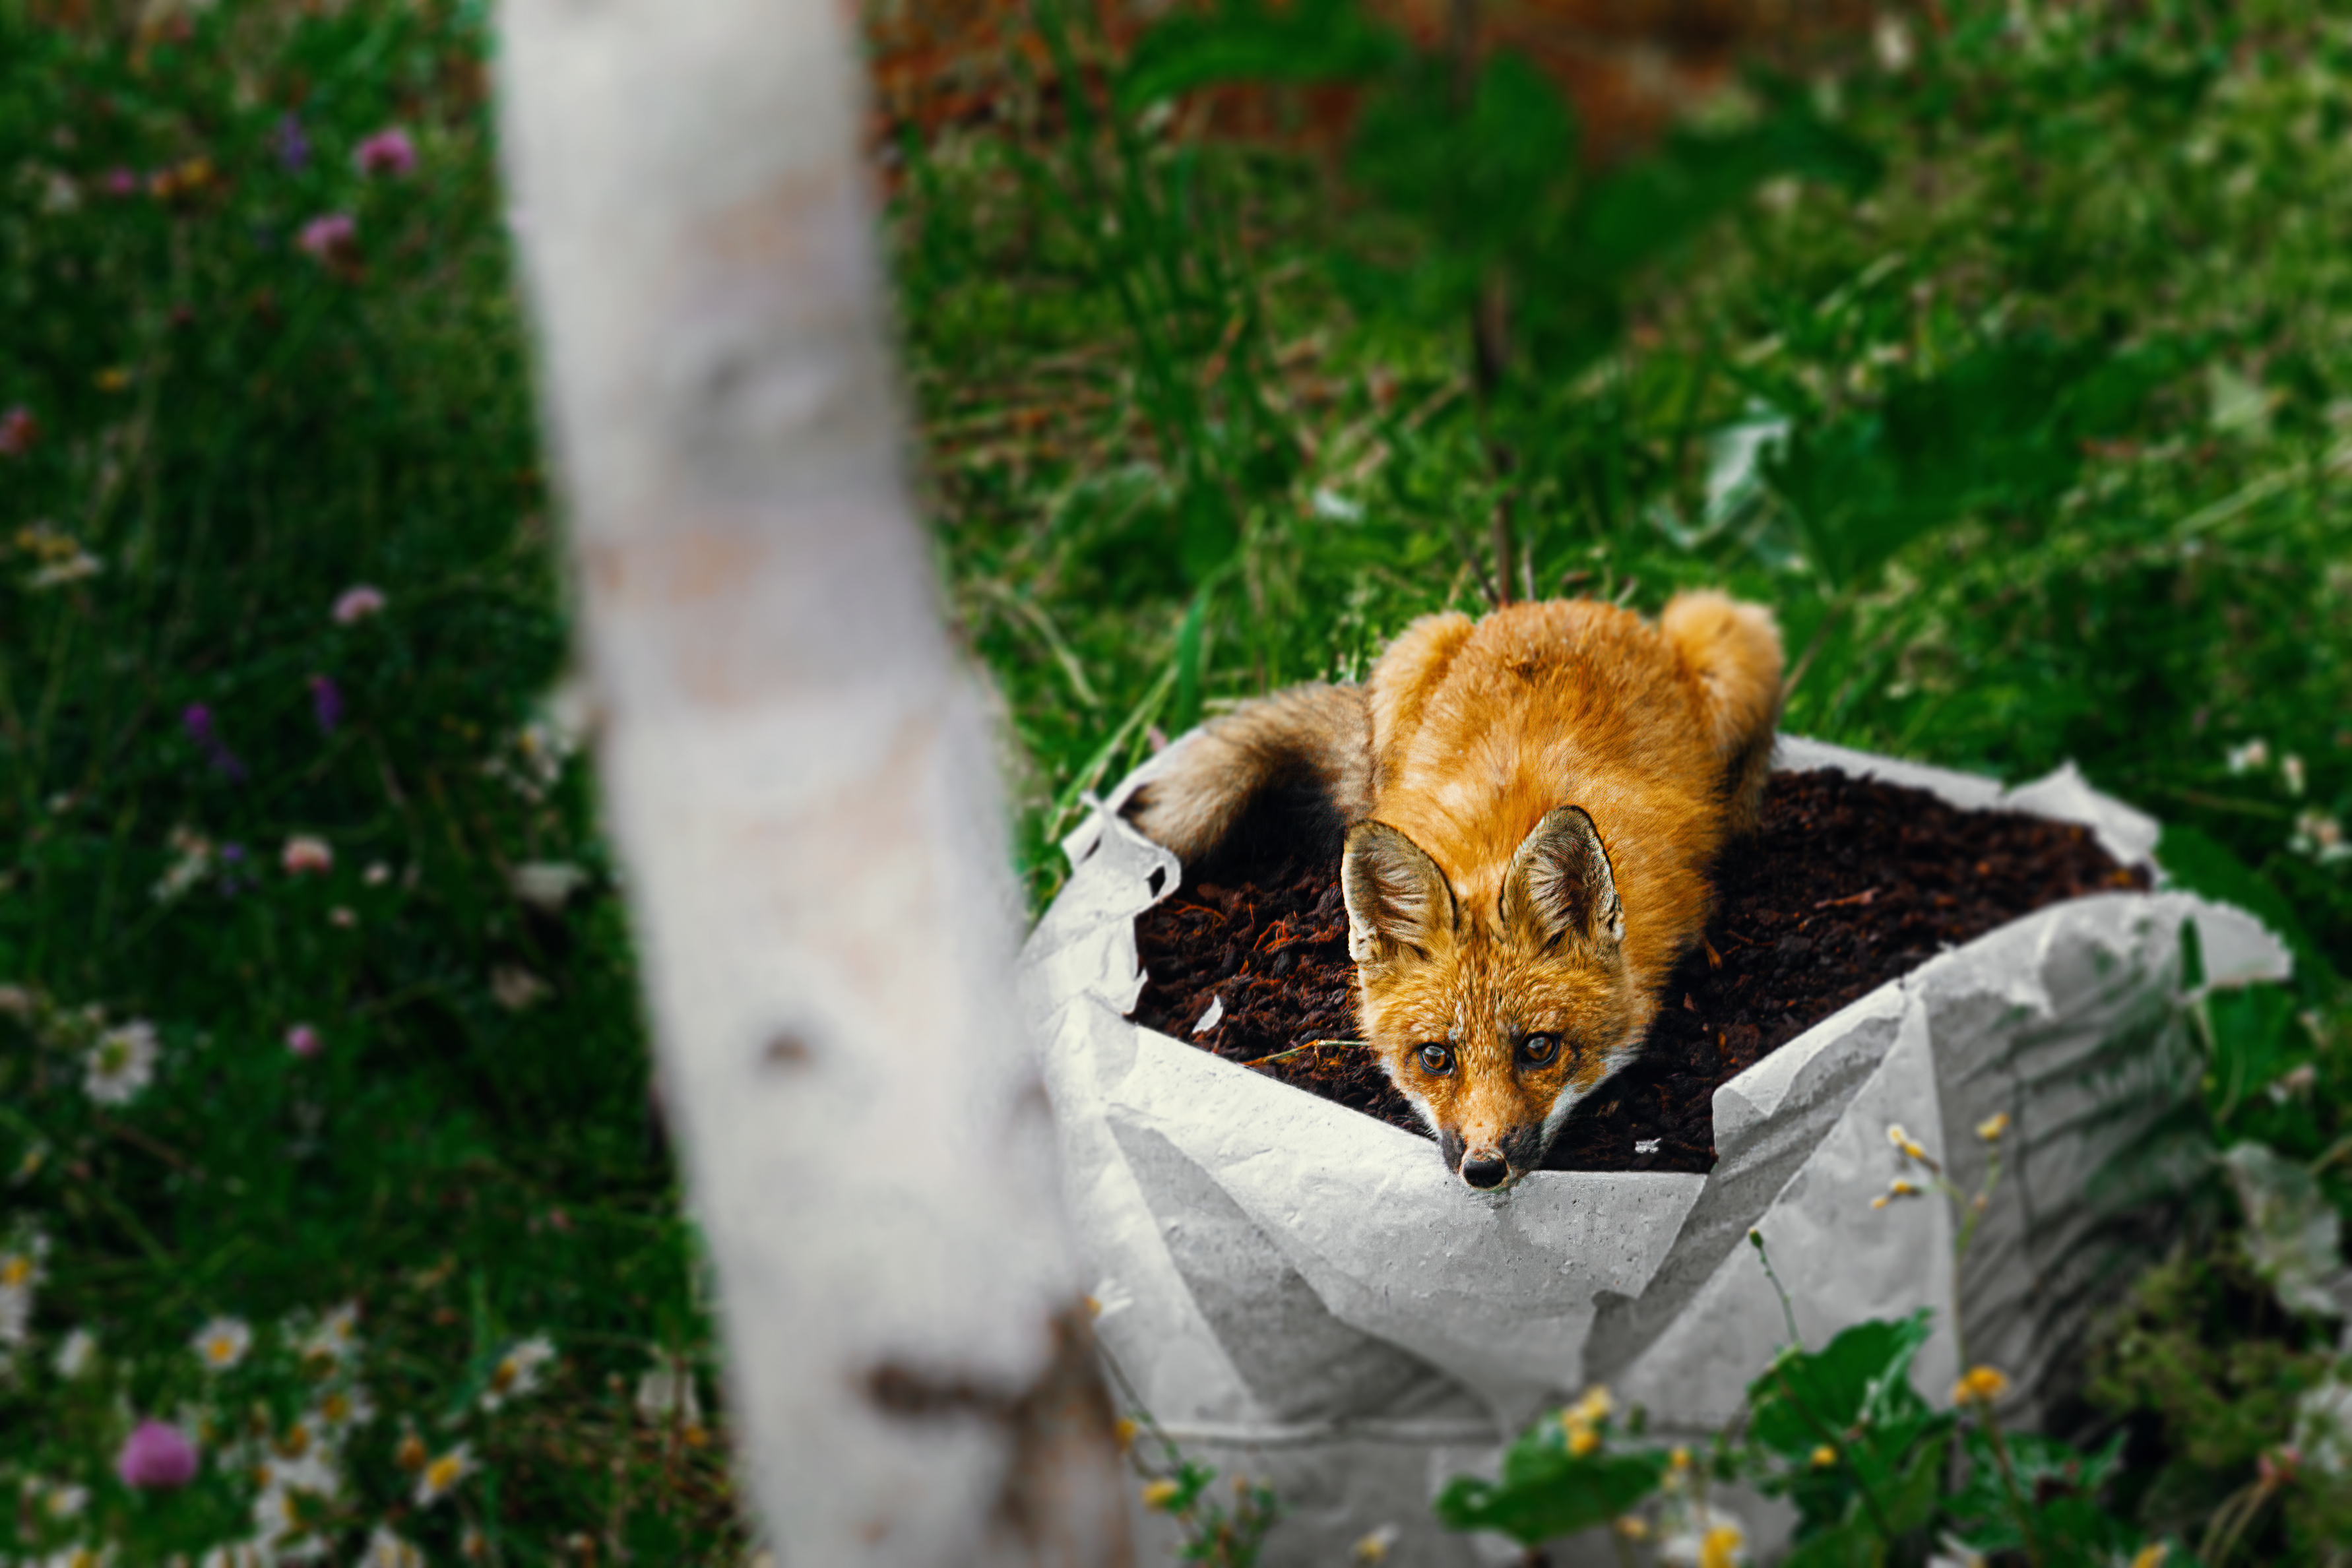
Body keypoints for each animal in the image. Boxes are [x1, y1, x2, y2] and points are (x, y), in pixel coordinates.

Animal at [1125, 592, 1783, 1192]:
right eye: (1435, 1057)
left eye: (1538, 1048)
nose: (1484, 1168)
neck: (1501, 836)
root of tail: (1570, 603)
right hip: (1409, 655)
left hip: (1731, 641)